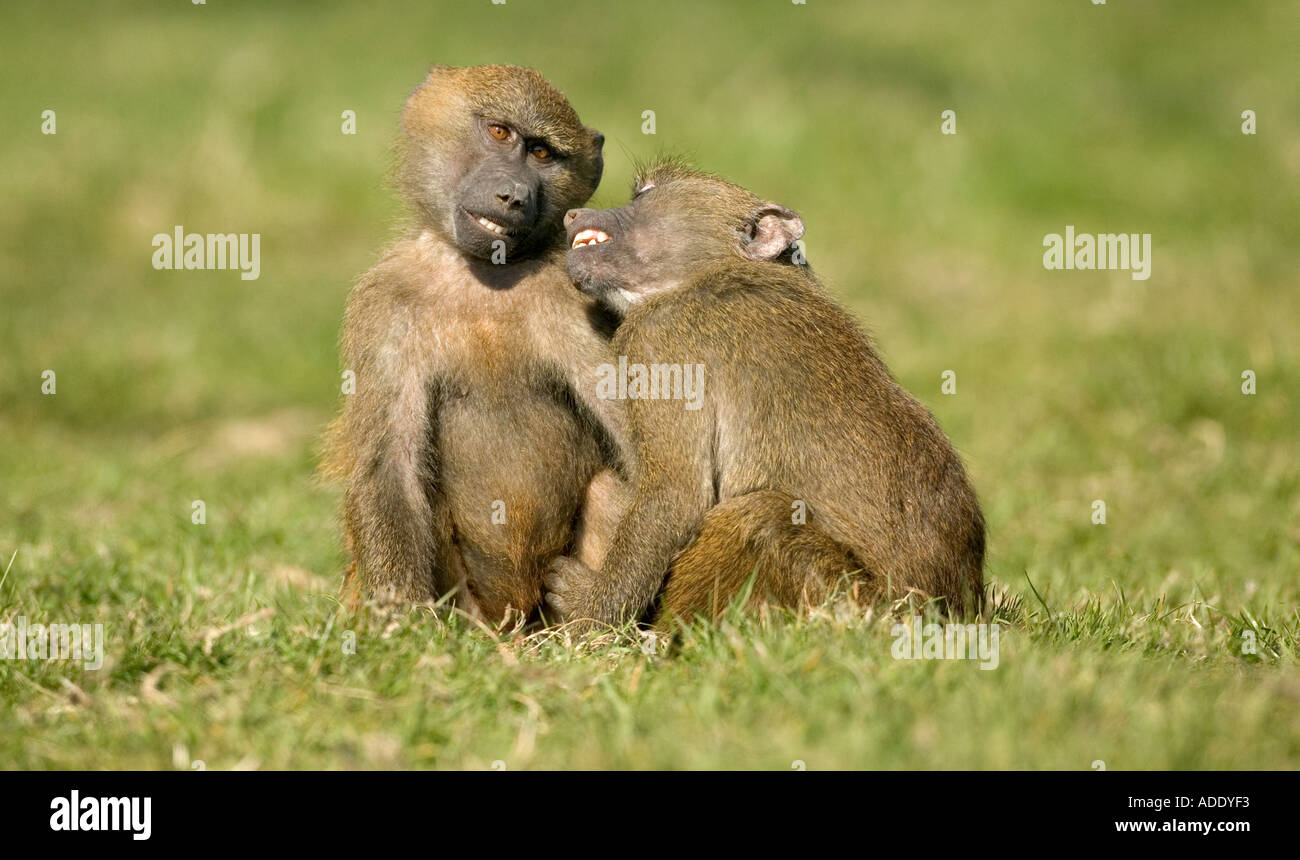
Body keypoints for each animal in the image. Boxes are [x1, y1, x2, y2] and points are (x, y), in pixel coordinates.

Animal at [322, 65, 629, 622]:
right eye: (500, 132)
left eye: (543, 153)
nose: (513, 195)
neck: (484, 273)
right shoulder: (383, 306)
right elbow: (390, 471)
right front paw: (404, 628)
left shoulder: (577, 299)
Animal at [543, 159, 985, 628]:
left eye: (644, 194)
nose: (574, 216)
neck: (715, 271)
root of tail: (950, 611)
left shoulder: (658, 336)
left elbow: (674, 499)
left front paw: (590, 618)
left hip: (848, 603)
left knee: (759, 515)